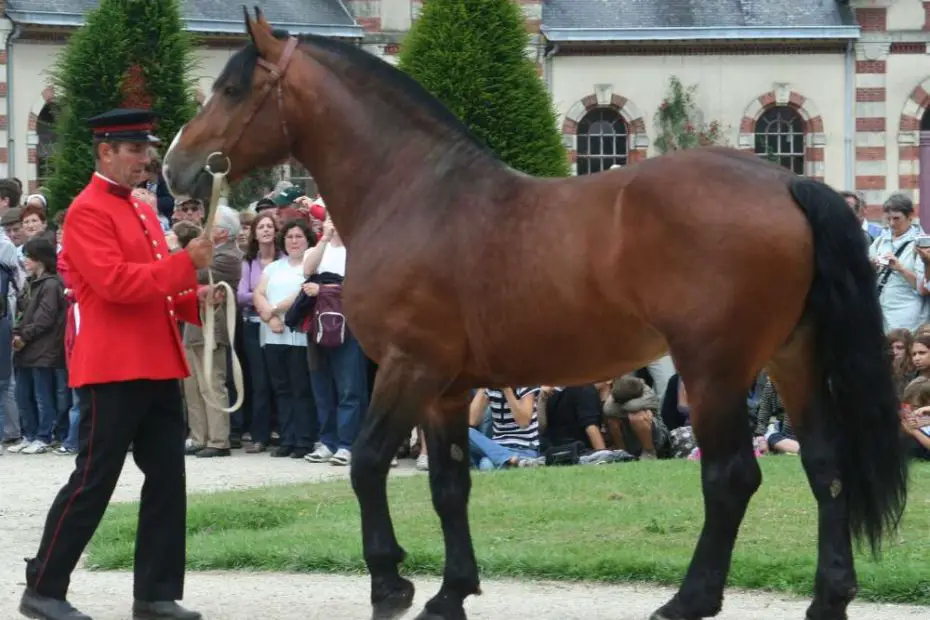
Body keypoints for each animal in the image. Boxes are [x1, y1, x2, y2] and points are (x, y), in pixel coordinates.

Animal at [163, 8, 908, 620]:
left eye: (233, 90)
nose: (175, 168)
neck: (413, 194)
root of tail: (784, 181)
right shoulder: (447, 389)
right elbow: (449, 485)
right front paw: (450, 593)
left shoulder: (407, 367)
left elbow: (368, 463)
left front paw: (390, 584)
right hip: (792, 358)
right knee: (825, 465)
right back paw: (828, 597)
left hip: (714, 370)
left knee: (731, 478)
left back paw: (688, 600)